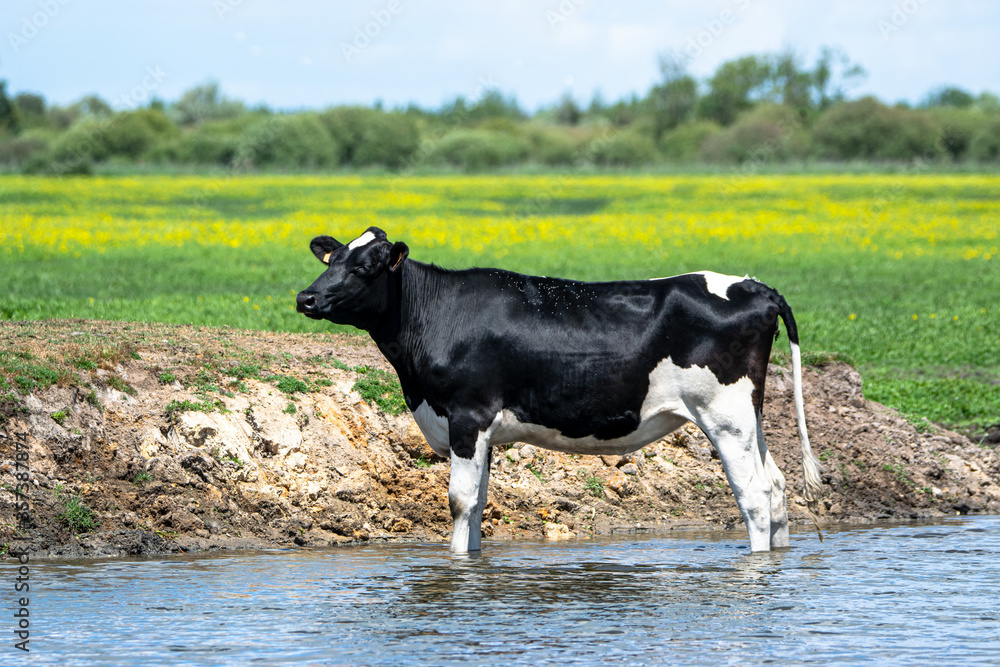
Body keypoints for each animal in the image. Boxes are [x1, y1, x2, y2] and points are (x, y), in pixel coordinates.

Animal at [297, 227, 823, 554]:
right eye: (333, 258)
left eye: (365, 267)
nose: (306, 297)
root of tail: (753, 286)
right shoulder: (480, 430)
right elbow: (479, 504)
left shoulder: (468, 416)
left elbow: (459, 502)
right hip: (751, 415)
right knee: (776, 486)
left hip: (725, 414)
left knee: (753, 493)